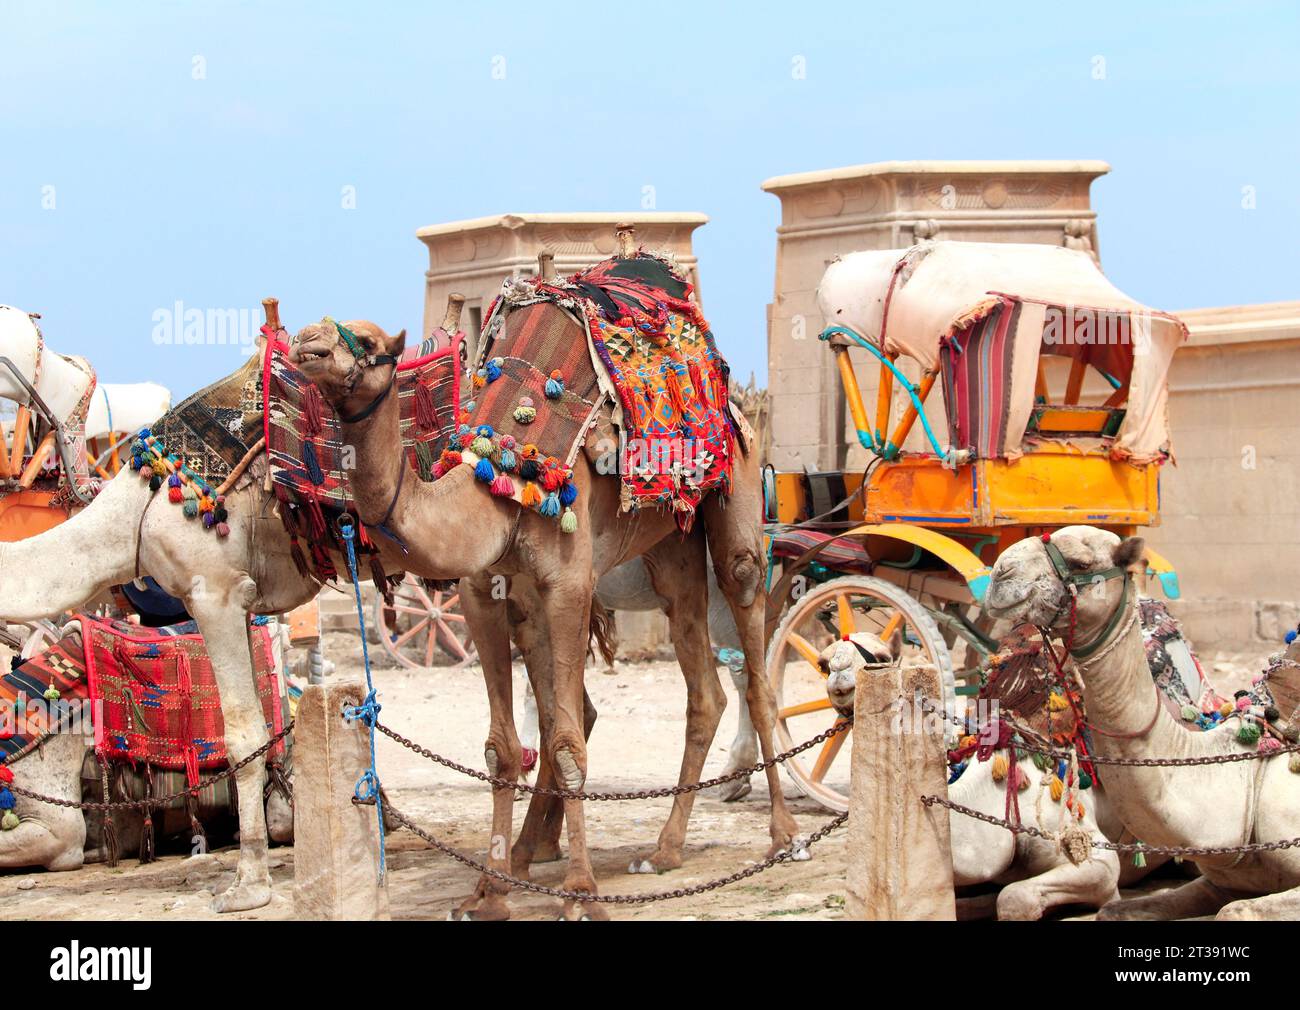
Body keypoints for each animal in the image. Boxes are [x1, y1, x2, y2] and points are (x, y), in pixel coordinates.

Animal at [290, 299, 794, 919]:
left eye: (364, 341)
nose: (306, 343)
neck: (500, 477)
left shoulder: (569, 583)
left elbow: (567, 743)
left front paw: (579, 892)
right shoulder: (486, 591)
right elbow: (504, 748)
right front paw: (488, 892)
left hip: (737, 512)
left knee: (753, 657)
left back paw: (783, 835)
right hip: (670, 549)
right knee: (703, 689)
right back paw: (663, 851)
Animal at [984, 525, 1300, 921]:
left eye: (1081, 562)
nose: (999, 572)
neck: (1242, 785)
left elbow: (1233, 911)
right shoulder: (1220, 881)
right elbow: (1113, 910)